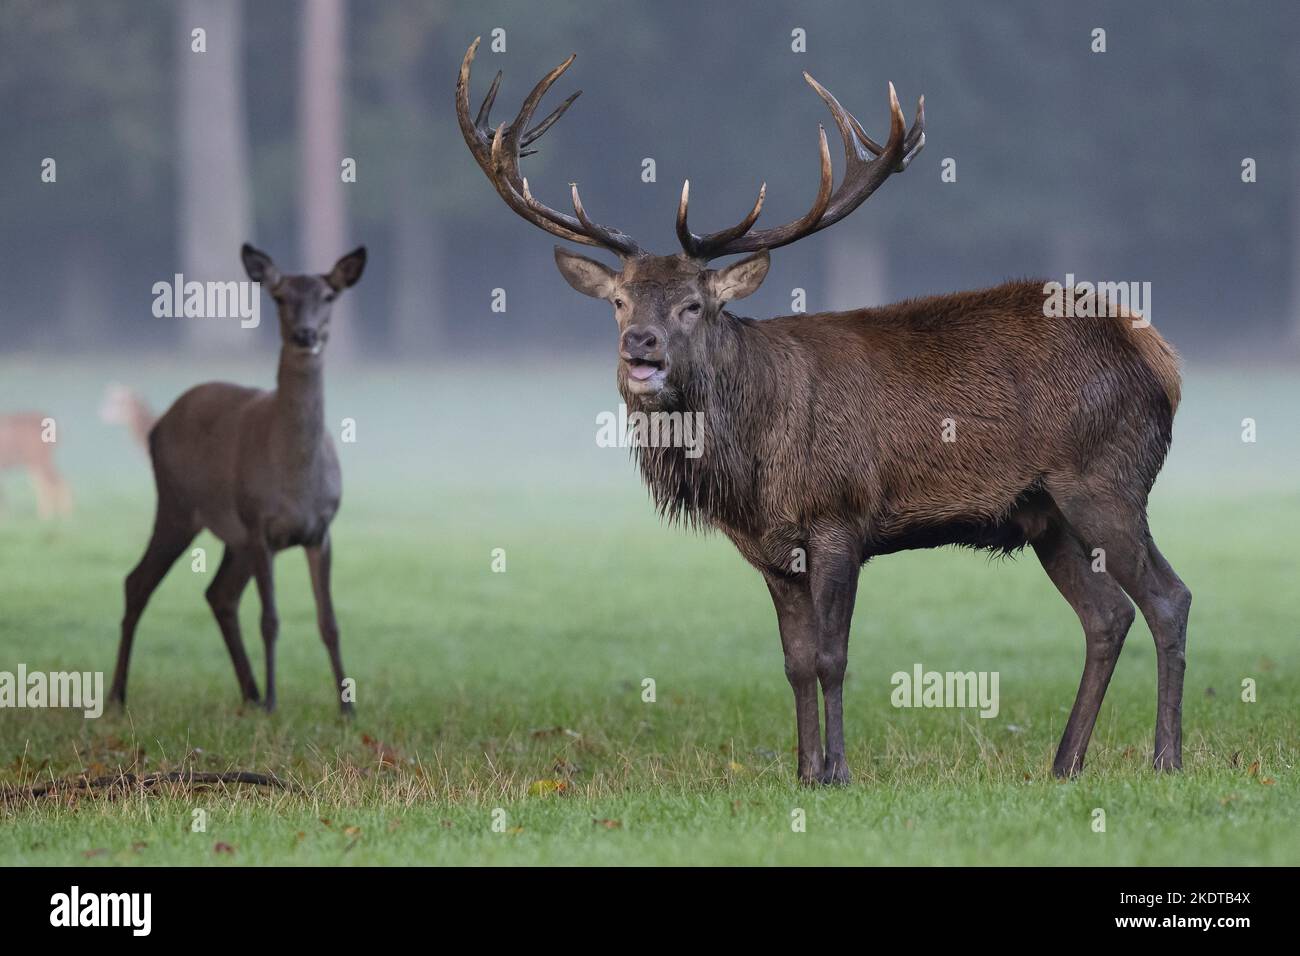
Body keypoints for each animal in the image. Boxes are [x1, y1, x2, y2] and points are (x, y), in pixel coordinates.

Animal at [110, 244, 366, 714]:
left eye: (329, 296)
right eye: (279, 297)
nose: (305, 334)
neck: (295, 478)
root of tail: (157, 424)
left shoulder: (320, 530)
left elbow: (329, 621)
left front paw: (347, 708)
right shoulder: (260, 524)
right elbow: (271, 619)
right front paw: (275, 704)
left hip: (234, 537)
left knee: (219, 594)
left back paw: (249, 692)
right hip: (177, 505)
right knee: (137, 582)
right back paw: (117, 695)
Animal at [457, 39, 1191, 785]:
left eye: (695, 305)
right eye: (619, 300)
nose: (641, 346)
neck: (754, 464)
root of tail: (1159, 356)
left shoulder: (840, 518)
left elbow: (834, 657)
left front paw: (839, 770)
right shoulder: (769, 549)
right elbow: (796, 661)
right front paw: (805, 769)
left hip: (1106, 480)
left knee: (1168, 598)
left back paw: (1165, 757)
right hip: (1046, 514)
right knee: (1106, 615)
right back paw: (1065, 763)